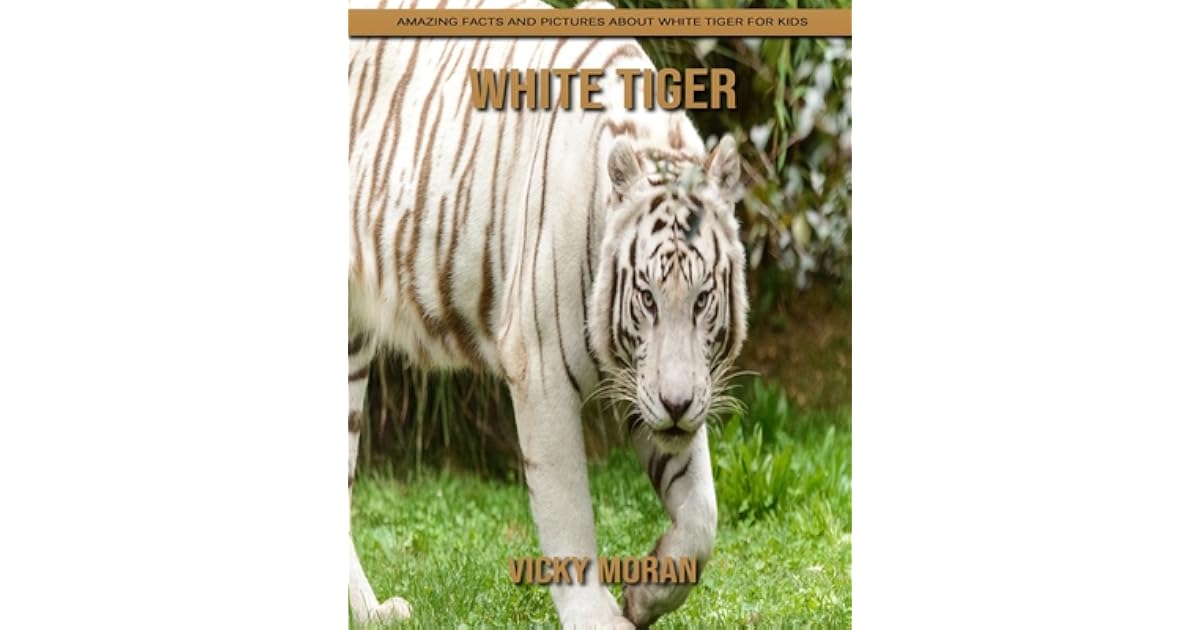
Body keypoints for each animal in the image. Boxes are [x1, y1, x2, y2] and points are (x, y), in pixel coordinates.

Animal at [347, 0, 749, 626]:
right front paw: (602, 616)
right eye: (648, 298)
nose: (680, 406)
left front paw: (646, 593)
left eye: (703, 298)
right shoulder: (539, 370)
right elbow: (568, 512)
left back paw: (370, 612)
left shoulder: (652, 386)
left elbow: (702, 513)